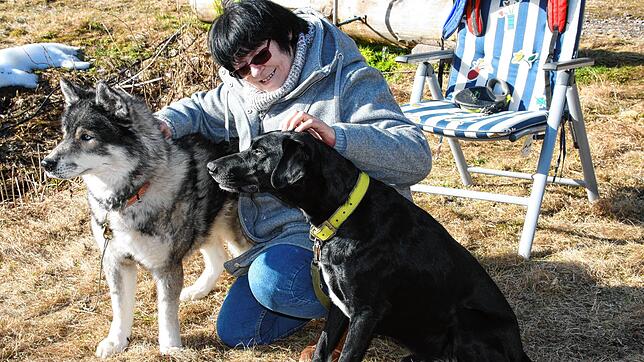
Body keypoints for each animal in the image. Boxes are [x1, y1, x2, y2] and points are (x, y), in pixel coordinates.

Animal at [206, 132, 528, 360]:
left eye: (259, 151)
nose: (210, 166)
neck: (344, 212)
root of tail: (520, 350)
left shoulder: (365, 312)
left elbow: (347, 356)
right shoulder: (337, 304)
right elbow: (323, 348)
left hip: (469, 322)